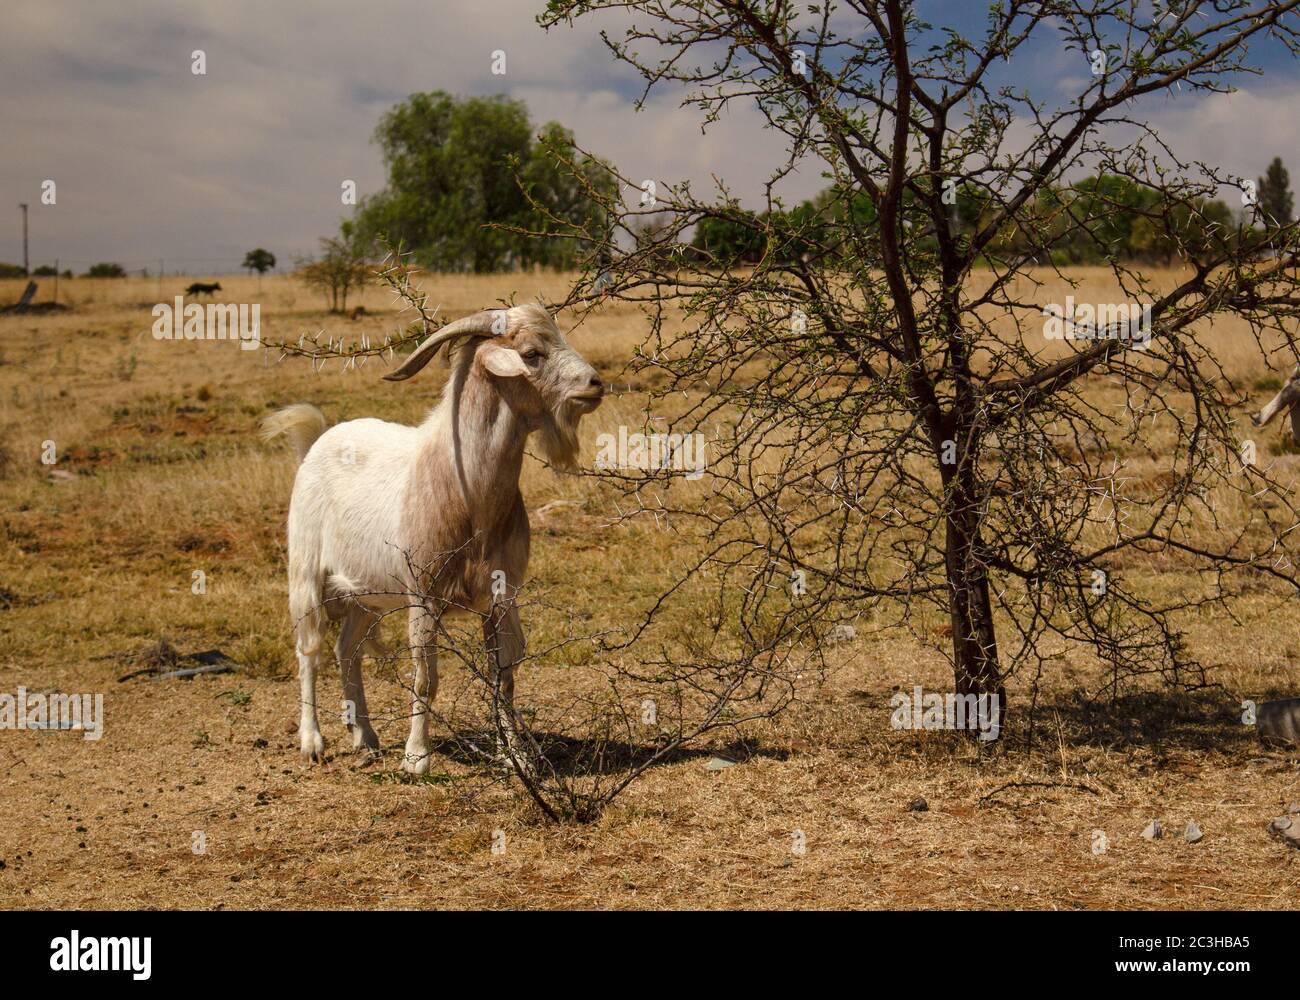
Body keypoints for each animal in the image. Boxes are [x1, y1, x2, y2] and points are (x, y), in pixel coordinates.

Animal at [261, 304, 604, 773]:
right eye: (532, 353)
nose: (595, 384)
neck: (465, 491)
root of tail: (318, 440)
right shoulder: (423, 594)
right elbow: (426, 678)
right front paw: (417, 757)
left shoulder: (502, 597)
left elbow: (505, 676)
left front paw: (515, 756)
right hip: (306, 574)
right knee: (309, 651)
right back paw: (313, 742)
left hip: (365, 593)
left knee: (347, 650)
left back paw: (365, 739)